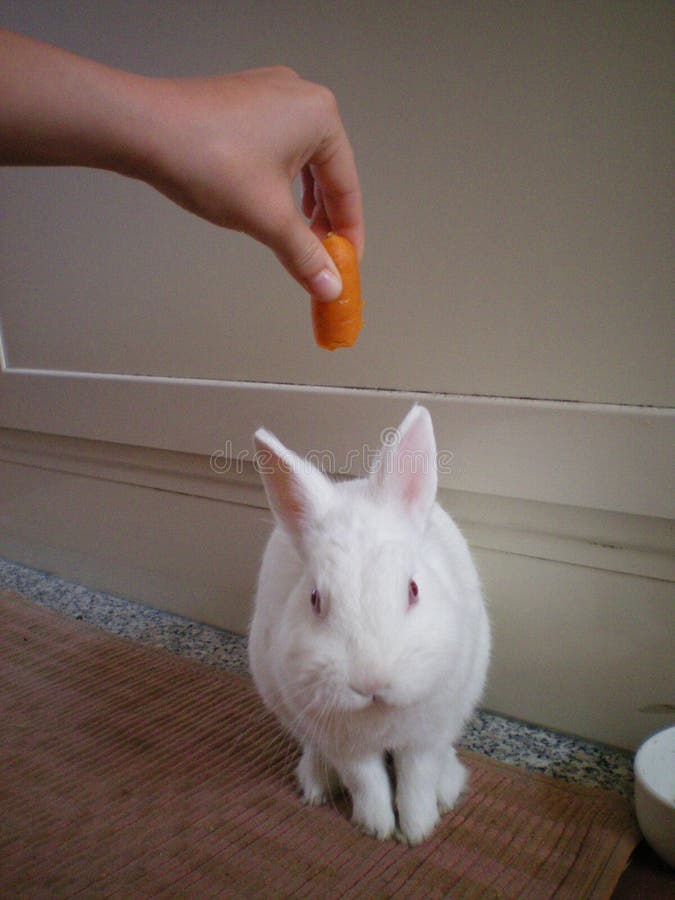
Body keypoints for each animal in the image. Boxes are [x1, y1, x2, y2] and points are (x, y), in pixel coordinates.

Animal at [248, 404, 490, 845]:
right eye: (314, 599)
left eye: (413, 589)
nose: (370, 682)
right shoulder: (346, 746)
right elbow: (367, 782)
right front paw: (378, 827)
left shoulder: (425, 737)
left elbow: (416, 780)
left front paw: (416, 831)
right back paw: (316, 785)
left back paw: (448, 788)